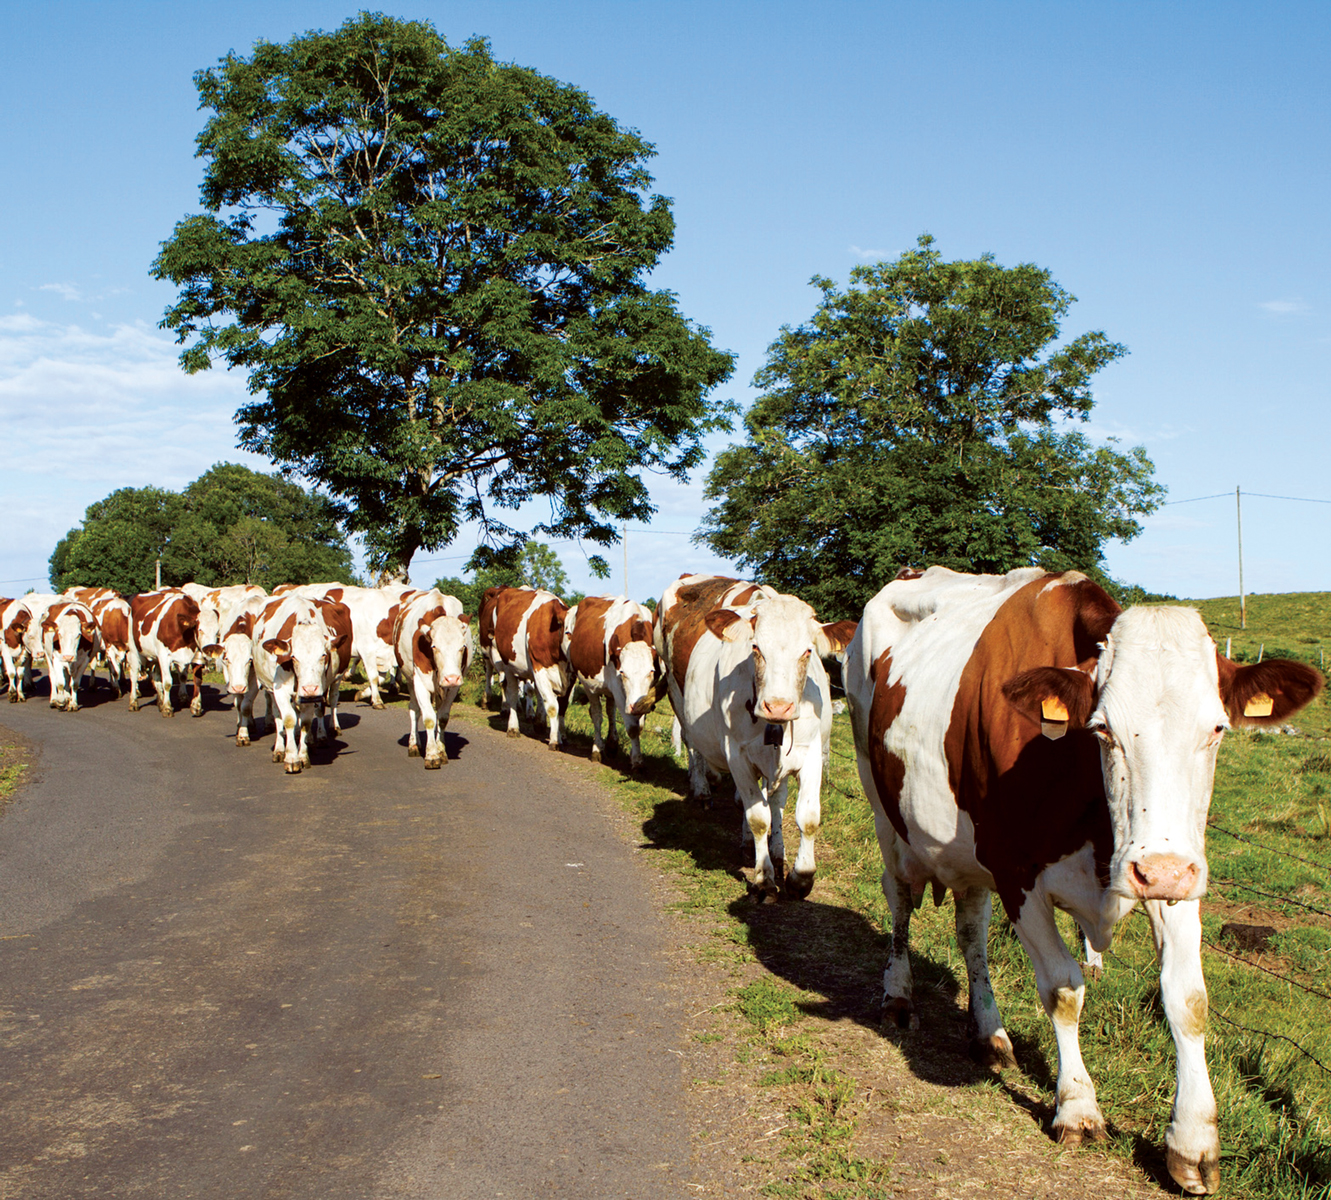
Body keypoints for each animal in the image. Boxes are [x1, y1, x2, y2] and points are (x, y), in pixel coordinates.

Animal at [393, 589, 471, 769]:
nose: (451, 678)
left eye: (463, 647)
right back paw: (414, 745)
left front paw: (441, 751)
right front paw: (432, 755)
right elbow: (429, 718)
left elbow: (442, 718)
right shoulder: (420, 681)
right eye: (434, 646)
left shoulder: (454, 687)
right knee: (414, 710)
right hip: (410, 679)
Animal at [479, 586, 571, 749]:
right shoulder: (539, 668)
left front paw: (561, 735)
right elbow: (552, 706)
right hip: (505, 662)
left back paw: (539, 722)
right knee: (510, 690)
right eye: (568, 631)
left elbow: (562, 706)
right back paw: (512, 726)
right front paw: (555, 739)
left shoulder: (570, 677)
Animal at [563, 595, 660, 768]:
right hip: (587, 683)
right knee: (596, 714)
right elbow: (632, 727)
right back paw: (597, 748)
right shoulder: (616, 686)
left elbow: (639, 724)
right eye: (622, 672)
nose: (635, 706)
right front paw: (637, 760)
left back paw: (612, 744)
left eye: (651, 671)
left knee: (609, 711)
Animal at [681, 593, 856, 900]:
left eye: (807, 651)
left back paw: (777, 849)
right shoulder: (737, 756)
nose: (778, 706)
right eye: (756, 648)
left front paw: (801, 877)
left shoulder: (811, 753)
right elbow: (757, 817)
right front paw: (764, 878)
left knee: (776, 802)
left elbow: (807, 817)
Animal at [843, 566, 1324, 1195]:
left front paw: (1193, 1142)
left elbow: (1187, 999)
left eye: (1217, 728)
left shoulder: (1168, 868)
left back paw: (989, 1032)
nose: (1161, 870)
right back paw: (898, 996)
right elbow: (1064, 989)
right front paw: (1077, 1107)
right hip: (883, 804)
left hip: (965, 849)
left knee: (971, 930)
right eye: (1102, 730)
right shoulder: (1016, 872)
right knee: (900, 898)